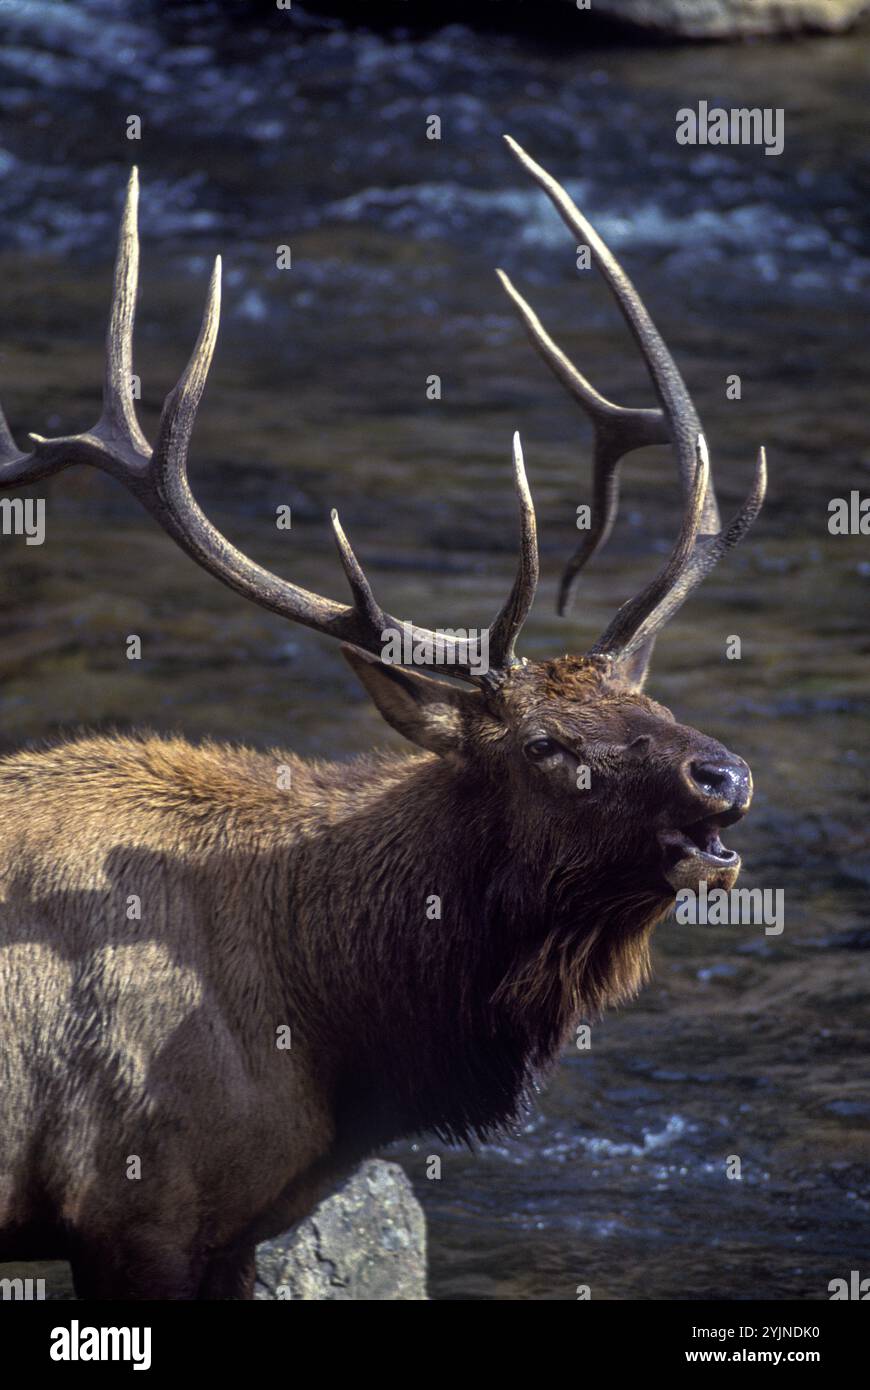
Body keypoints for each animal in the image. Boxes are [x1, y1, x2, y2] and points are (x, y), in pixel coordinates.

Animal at [0, 137, 766, 1300]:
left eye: (657, 701)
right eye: (543, 745)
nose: (723, 776)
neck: (334, 1033)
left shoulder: (234, 1227)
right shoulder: (135, 1206)